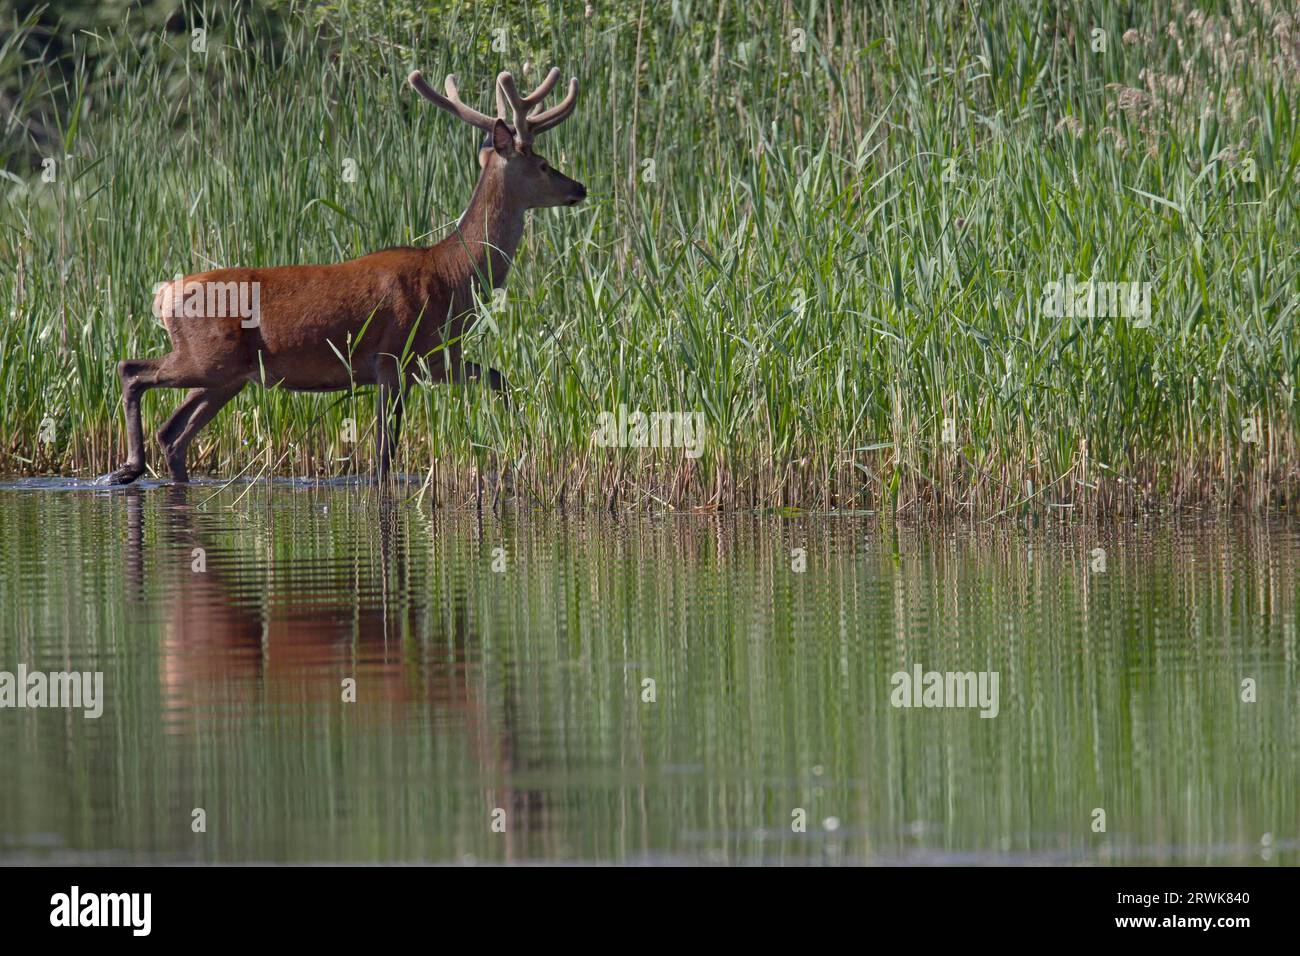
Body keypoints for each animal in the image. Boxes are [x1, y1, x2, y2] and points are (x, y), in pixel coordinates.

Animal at [102, 67, 585, 485]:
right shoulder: (392, 356)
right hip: (206, 357)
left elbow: (498, 377)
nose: (578, 187)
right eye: (543, 164)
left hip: (228, 376)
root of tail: (164, 294)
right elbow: (384, 452)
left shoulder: (436, 358)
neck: (452, 279)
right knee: (133, 372)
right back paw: (128, 466)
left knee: (174, 434)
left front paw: (519, 430)